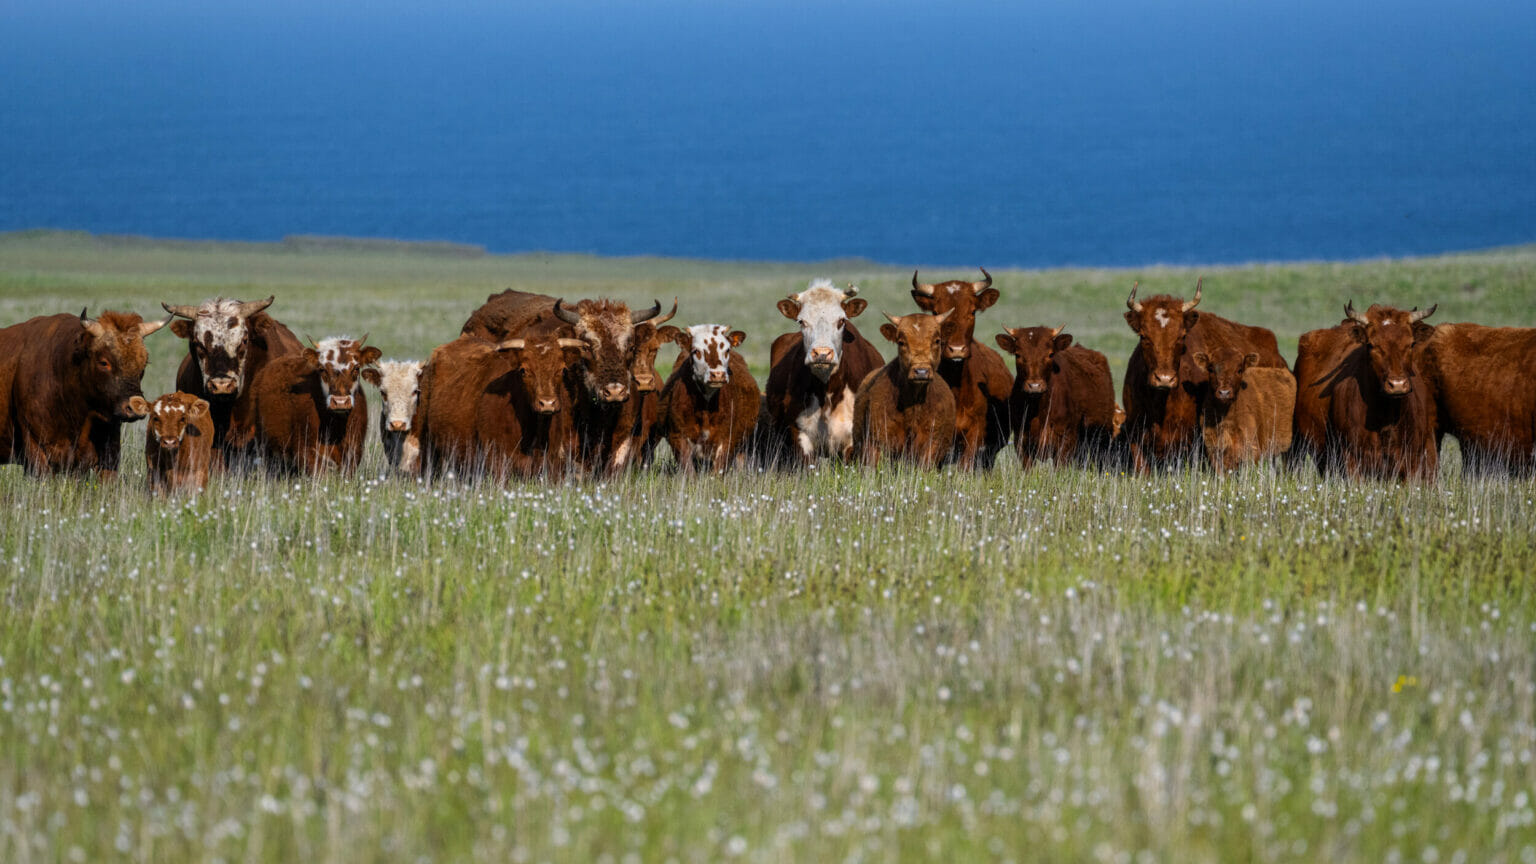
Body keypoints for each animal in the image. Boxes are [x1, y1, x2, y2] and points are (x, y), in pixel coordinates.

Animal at [251, 336, 380, 474]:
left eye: (356, 368)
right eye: (322, 369)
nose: (340, 402)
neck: (335, 425)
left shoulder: (354, 451)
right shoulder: (306, 450)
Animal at [658, 325, 760, 473]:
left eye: (727, 349)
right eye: (696, 351)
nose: (717, 374)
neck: (705, 409)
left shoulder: (729, 439)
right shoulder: (677, 436)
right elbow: (688, 470)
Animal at [762, 280, 884, 466]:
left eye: (841, 320)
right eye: (801, 321)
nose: (822, 353)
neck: (827, 390)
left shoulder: (851, 442)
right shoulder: (800, 436)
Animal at [994, 325, 1116, 469]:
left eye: (1050, 354)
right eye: (1018, 354)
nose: (1035, 386)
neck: (1038, 412)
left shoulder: (1065, 442)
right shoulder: (1022, 442)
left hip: (1101, 436)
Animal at [1291, 302, 1439, 481]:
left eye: (1411, 344)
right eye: (1371, 345)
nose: (1397, 384)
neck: (1386, 415)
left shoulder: (1411, 460)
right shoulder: (1352, 459)